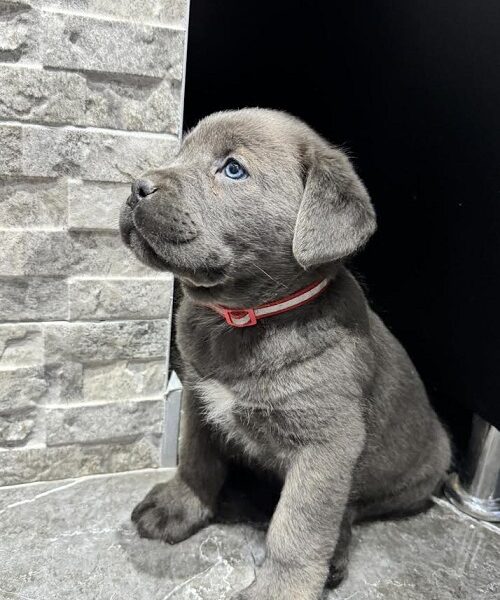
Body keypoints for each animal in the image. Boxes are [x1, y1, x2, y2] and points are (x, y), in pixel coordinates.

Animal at [119, 109, 452, 600]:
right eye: (181, 152)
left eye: (233, 169)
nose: (136, 187)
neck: (243, 320)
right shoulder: (200, 402)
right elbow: (196, 460)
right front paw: (180, 506)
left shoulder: (327, 445)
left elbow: (298, 529)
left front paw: (281, 588)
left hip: (411, 476)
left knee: (349, 509)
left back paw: (336, 555)